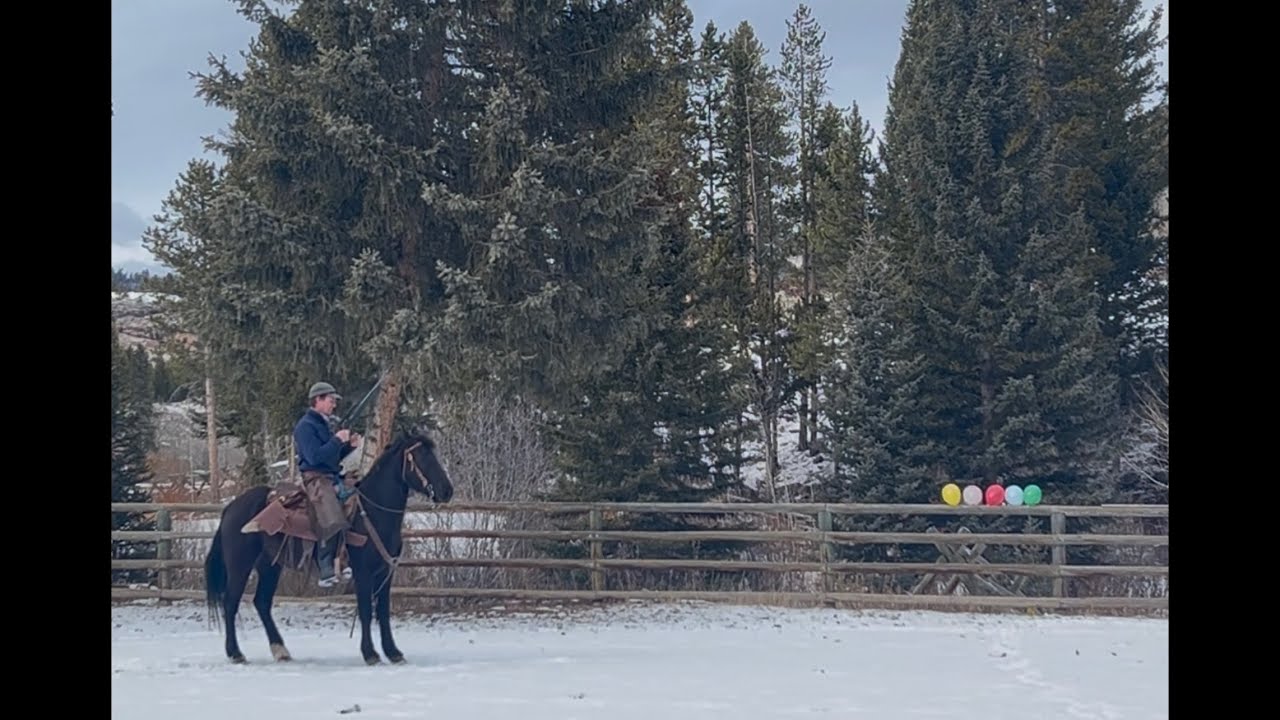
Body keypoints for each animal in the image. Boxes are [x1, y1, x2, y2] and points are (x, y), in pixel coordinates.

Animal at [202, 427, 454, 665]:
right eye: (421, 457)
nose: (447, 491)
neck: (372, 513)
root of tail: (230, 508)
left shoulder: (385, 572)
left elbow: (383, 613)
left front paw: (393, 652)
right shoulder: (362, 573)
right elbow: (366, 611)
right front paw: (370, 654)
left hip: (270, 565)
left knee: (261, 602)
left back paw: (280, 650)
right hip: (240, 565)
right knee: (230, 603)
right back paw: (235, 653)